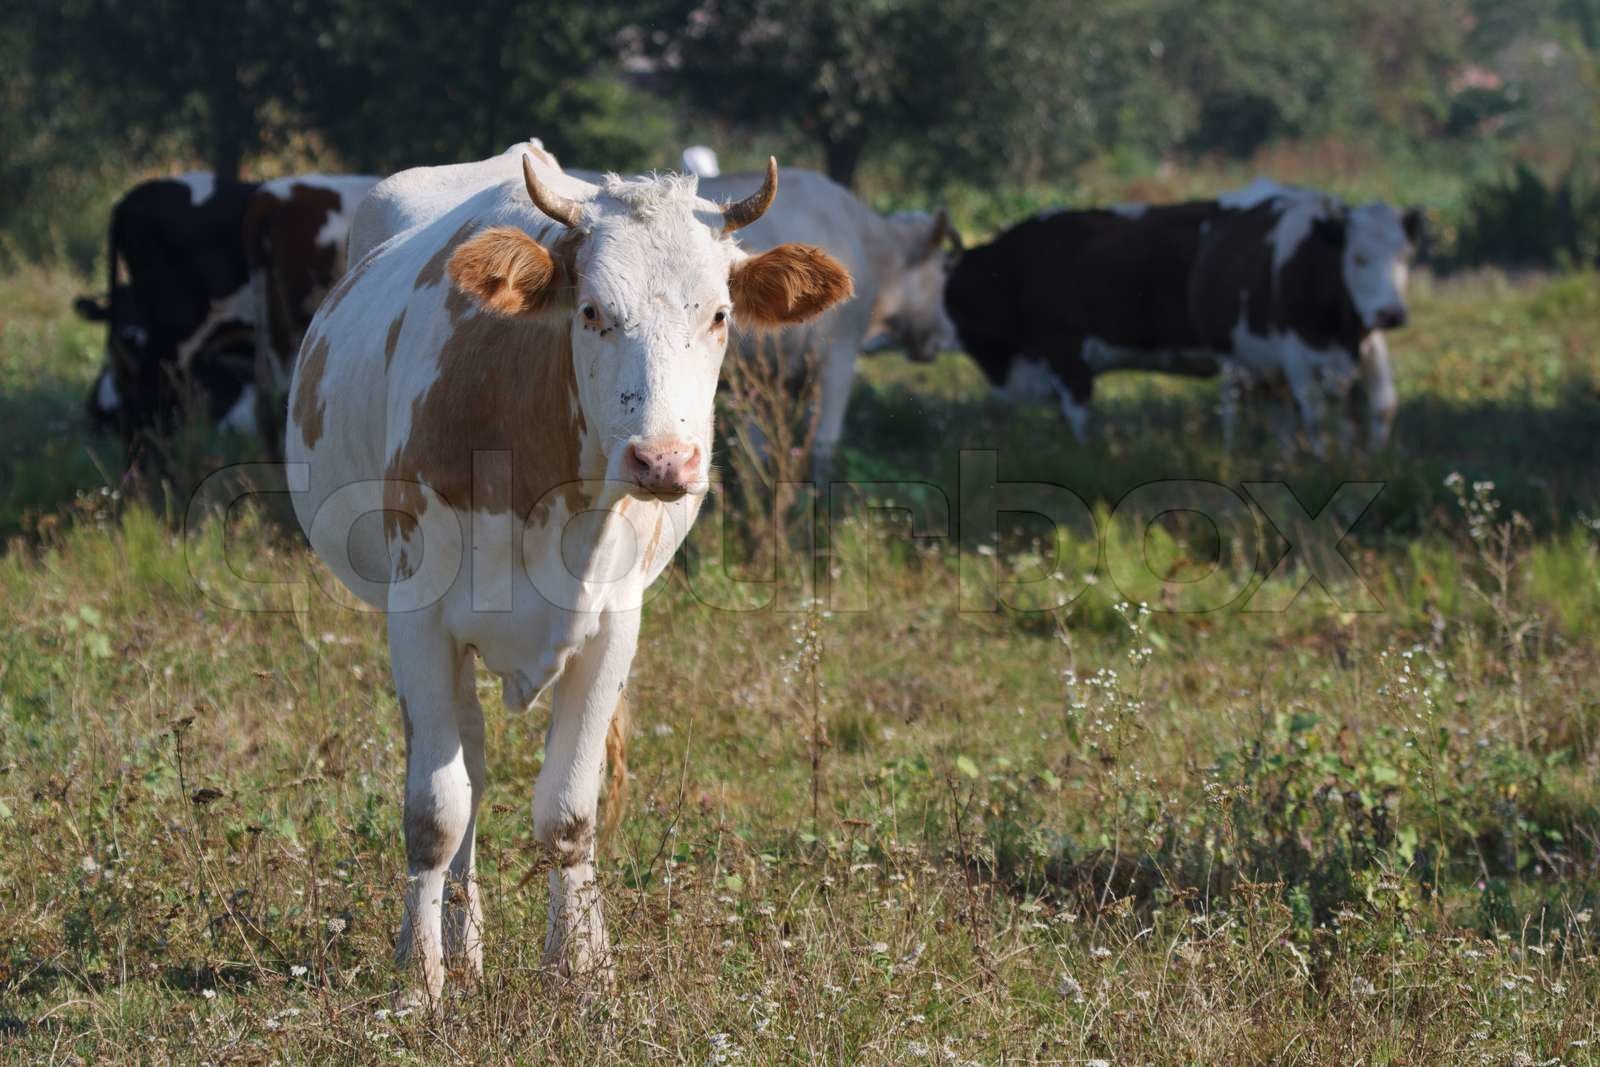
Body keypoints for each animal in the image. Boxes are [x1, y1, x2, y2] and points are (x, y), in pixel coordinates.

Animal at [287, 149, 852, 1003]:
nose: (662, 462)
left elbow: (567, 813)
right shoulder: (418, 616)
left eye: (719, 316)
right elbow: (435, 812)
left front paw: (582, 968)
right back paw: (456, 948)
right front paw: (419, 978)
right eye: (591, 312)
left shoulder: (615, 624)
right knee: (467, 772)